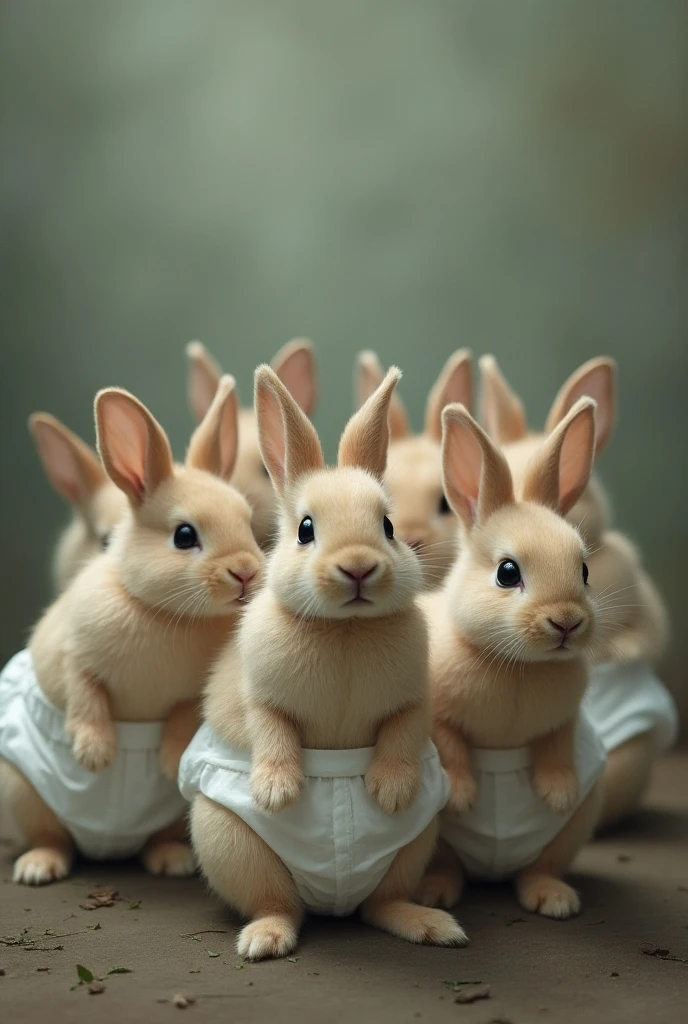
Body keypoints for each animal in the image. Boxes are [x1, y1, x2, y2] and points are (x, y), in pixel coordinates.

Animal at [180, 364, 467, 961]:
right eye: (305, 529)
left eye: (386, 527)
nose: (358, 566)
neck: (343, 630)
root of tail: (334, 901)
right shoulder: (261, 696)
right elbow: (272, 729)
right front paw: (276, 791)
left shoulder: (413, 699)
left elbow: (402, 732)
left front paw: (391, 792)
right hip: (230, 841)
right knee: (279, 905)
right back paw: (264, 941)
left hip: (414, 848)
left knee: (380, 904)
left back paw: (430, 924)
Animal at [417, 398, 606, 920]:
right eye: (507, 572)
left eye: (584, 570)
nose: (566, 622)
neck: (518, 664)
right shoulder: (439, 713)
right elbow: (452, 745)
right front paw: (462, 798)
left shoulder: (565, 717)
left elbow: (558, 745)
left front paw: (558, 793)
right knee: (449, 866)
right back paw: (437, 892)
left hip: (570, 836)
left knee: (538, 869)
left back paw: (554, 899)